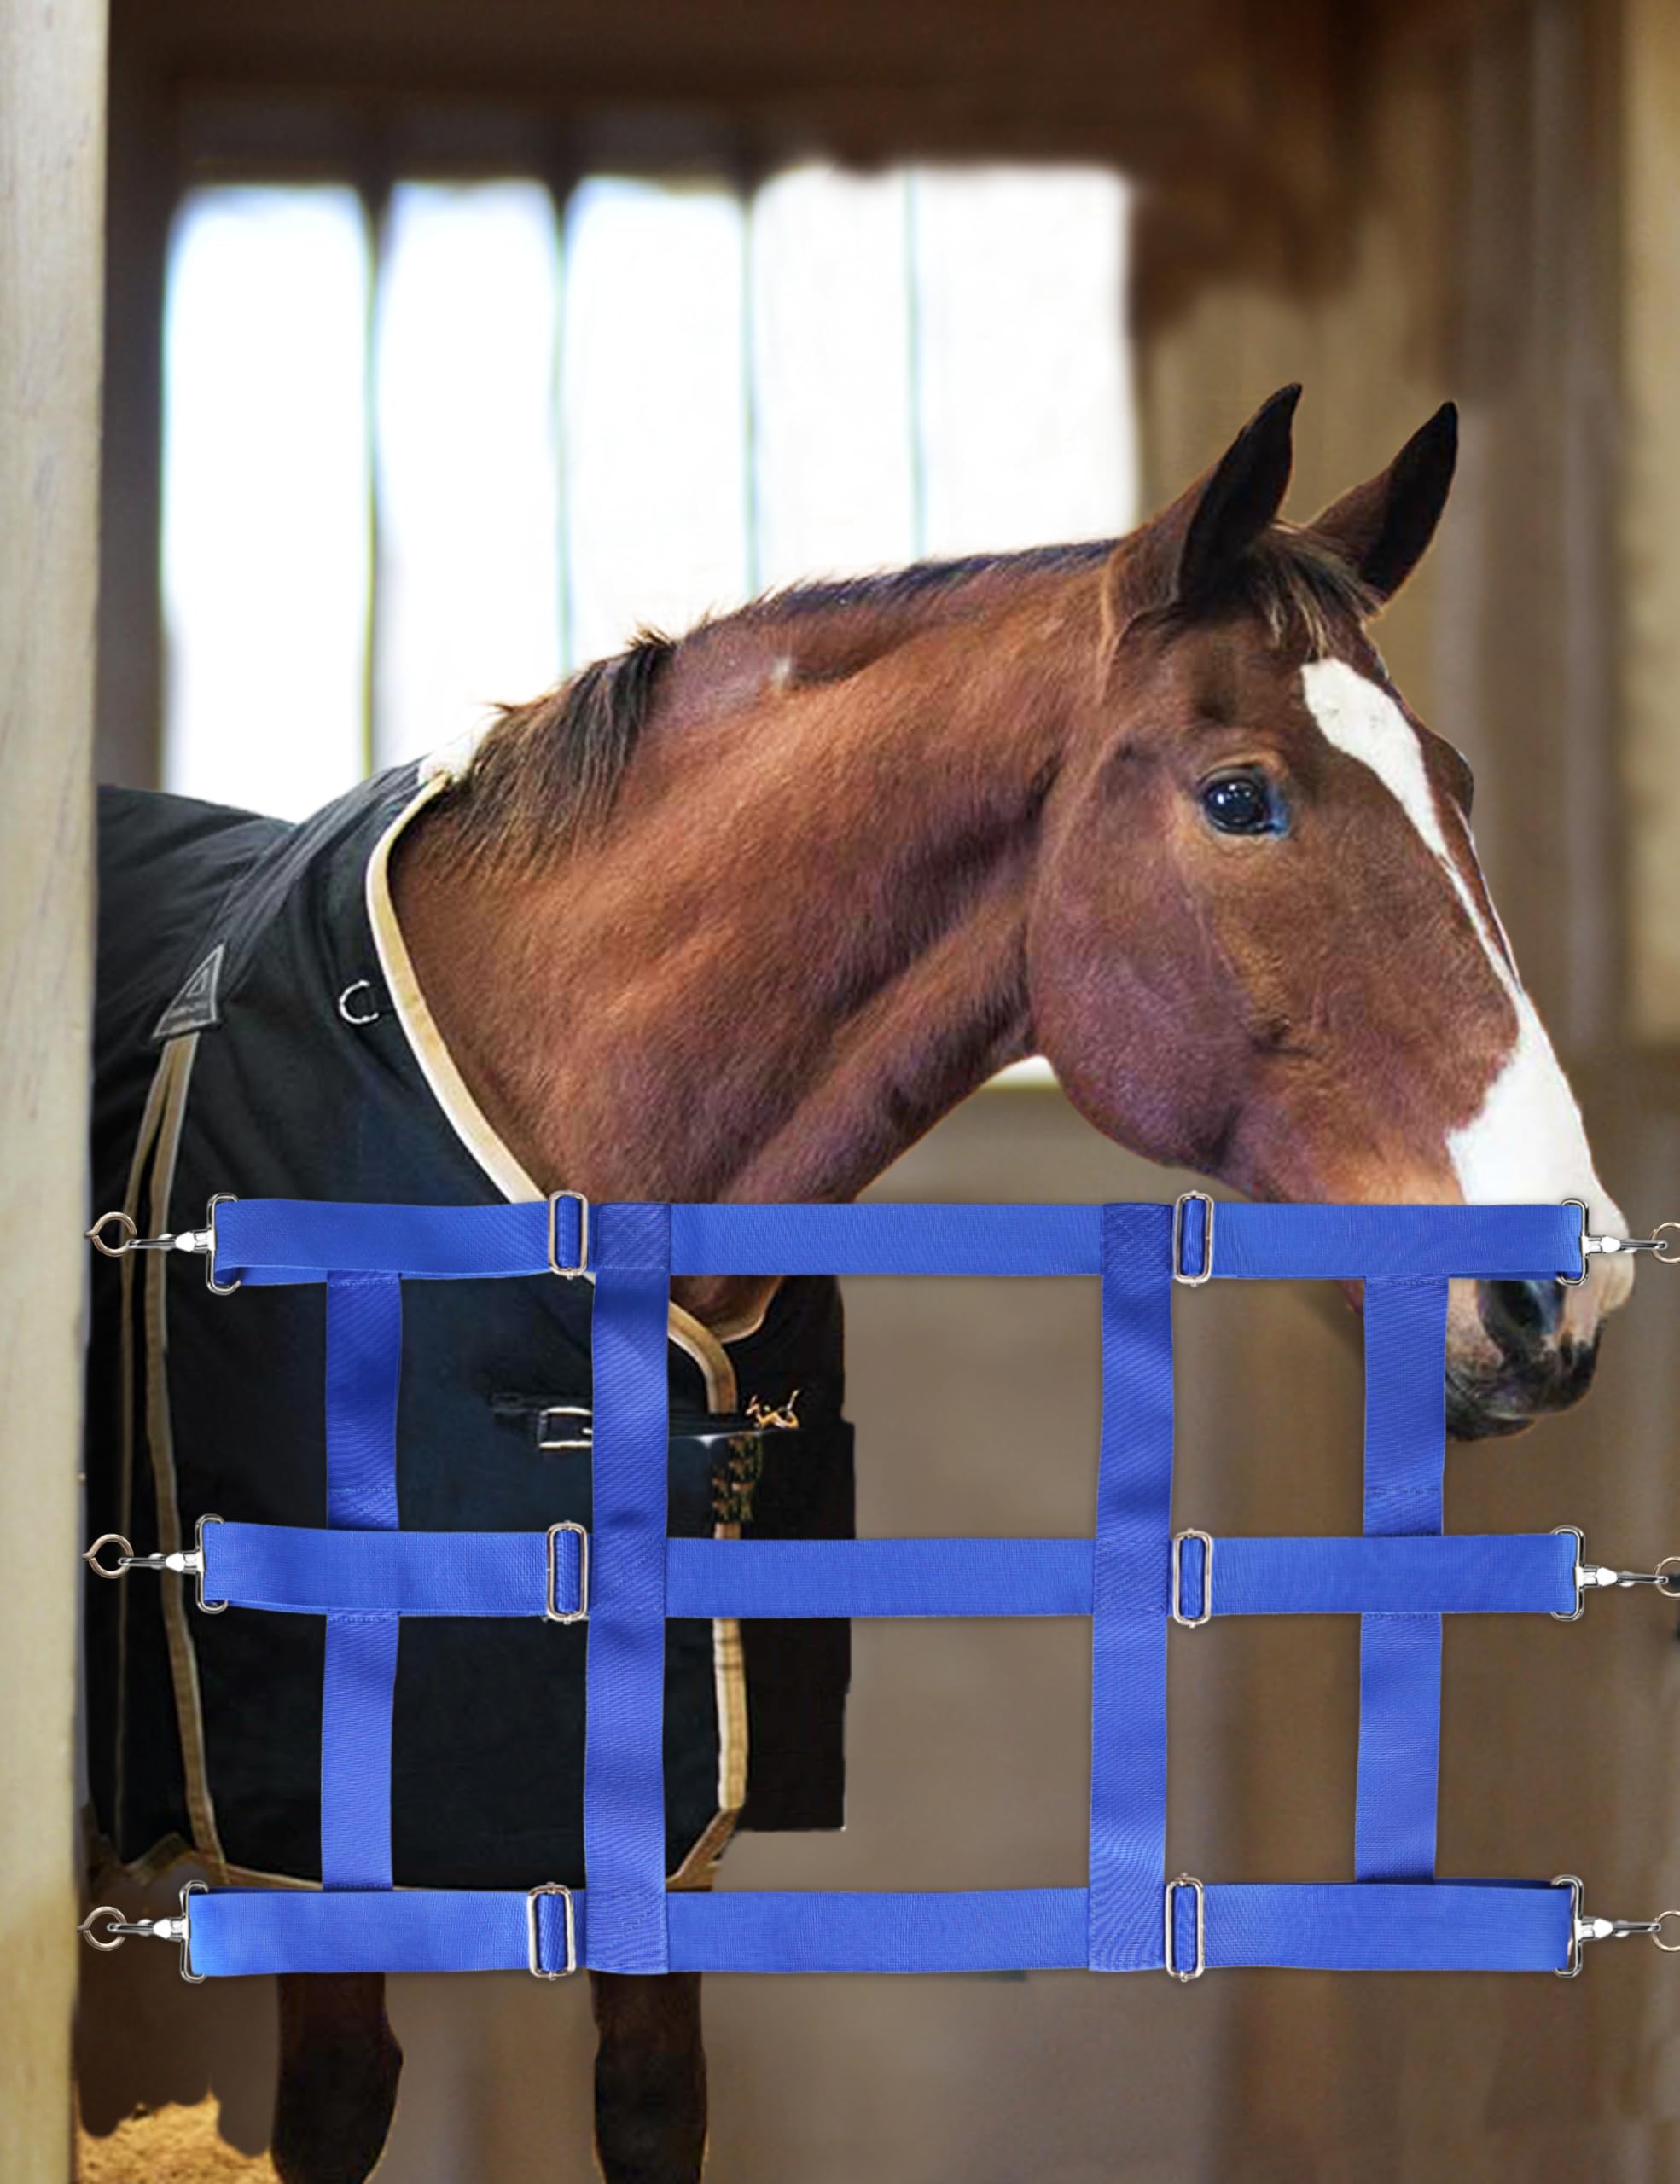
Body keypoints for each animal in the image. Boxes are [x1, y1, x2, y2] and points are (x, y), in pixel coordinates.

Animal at [87, 383, 1633, 2182]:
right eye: (1239, 797)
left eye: (1451, 781)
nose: (1562, 1287)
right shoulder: (306, 1813)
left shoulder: (666, 1788)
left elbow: (651, 2103)